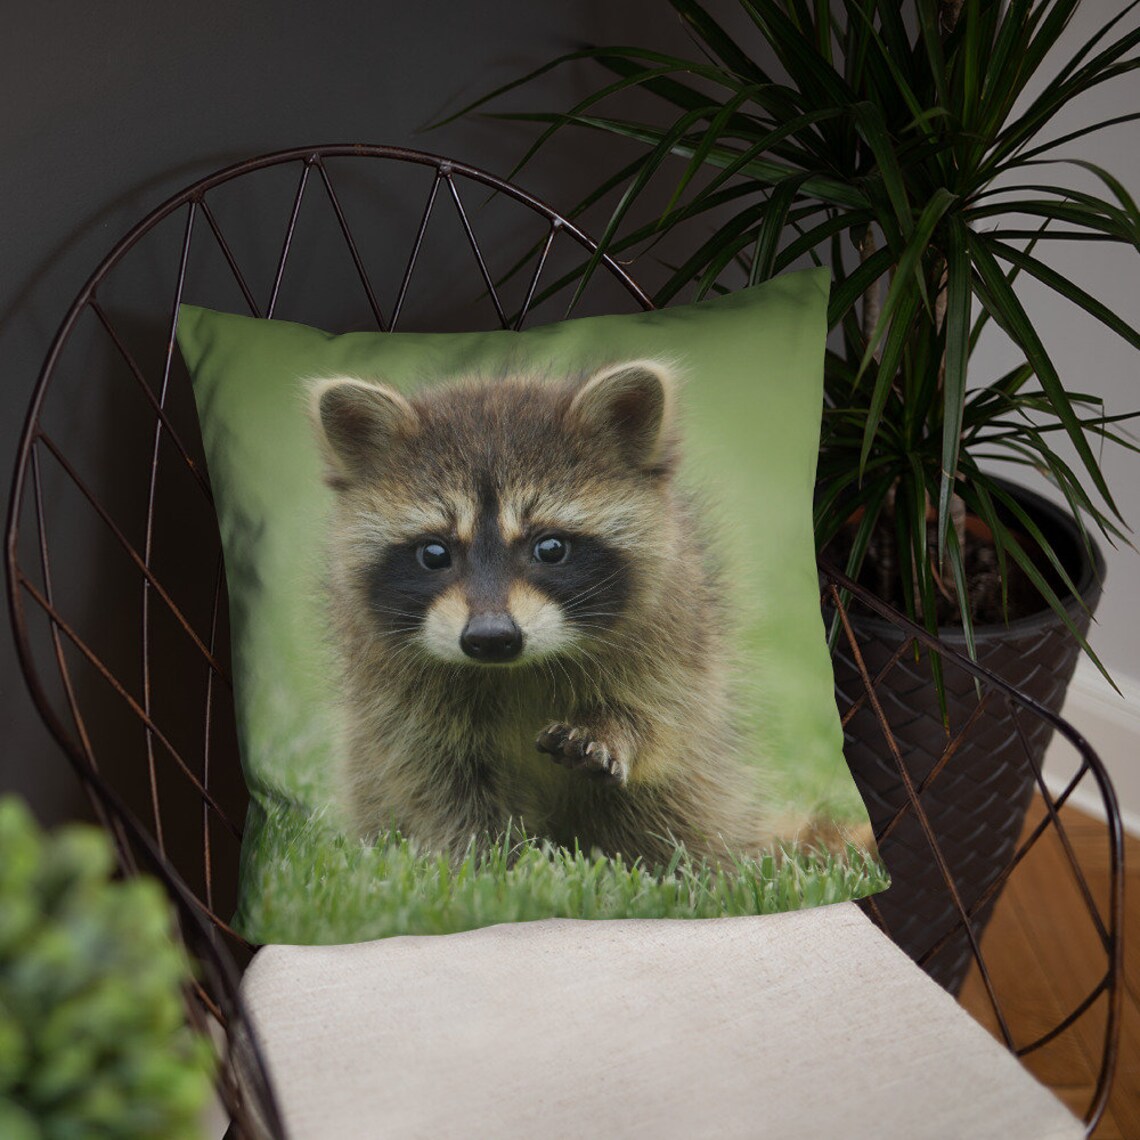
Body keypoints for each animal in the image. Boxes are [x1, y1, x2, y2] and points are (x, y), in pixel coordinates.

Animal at [309, 360, 774, 866]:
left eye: (550, 548)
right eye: (434, 554)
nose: (491, 638)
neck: (513, 670)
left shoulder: (675, 629)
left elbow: (663, 715)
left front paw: (614, 728)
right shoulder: (396, 697)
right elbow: (436, 780)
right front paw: (492, 862)